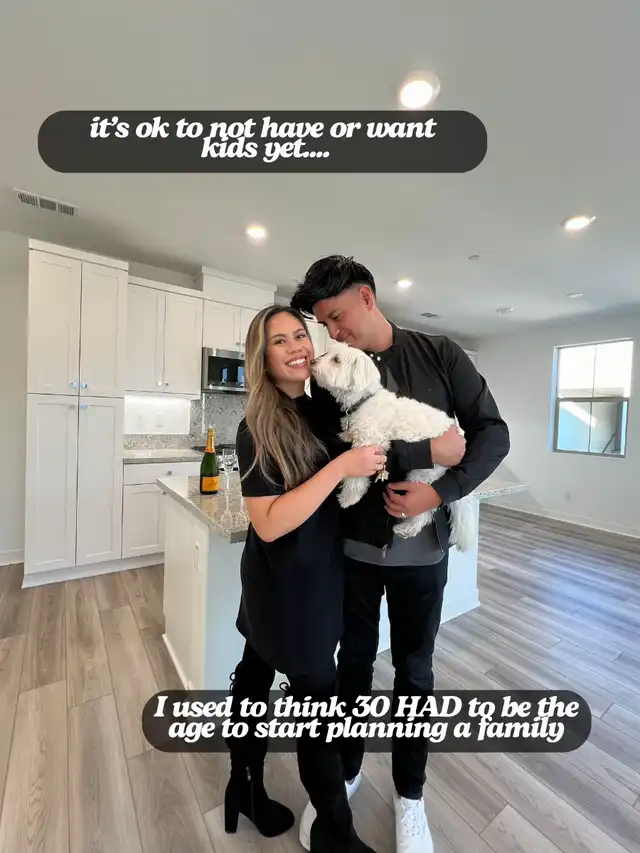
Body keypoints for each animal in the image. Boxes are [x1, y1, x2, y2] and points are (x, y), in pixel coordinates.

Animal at [311, 340, 476, 551]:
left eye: (336, 360)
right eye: (326, 353)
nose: (313, 361)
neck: (365, 400)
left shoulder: (370, 446)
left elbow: (356, 479)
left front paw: (348, 498)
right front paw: (345, 434)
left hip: (423, 475)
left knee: (423, 513)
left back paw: (406, 529)